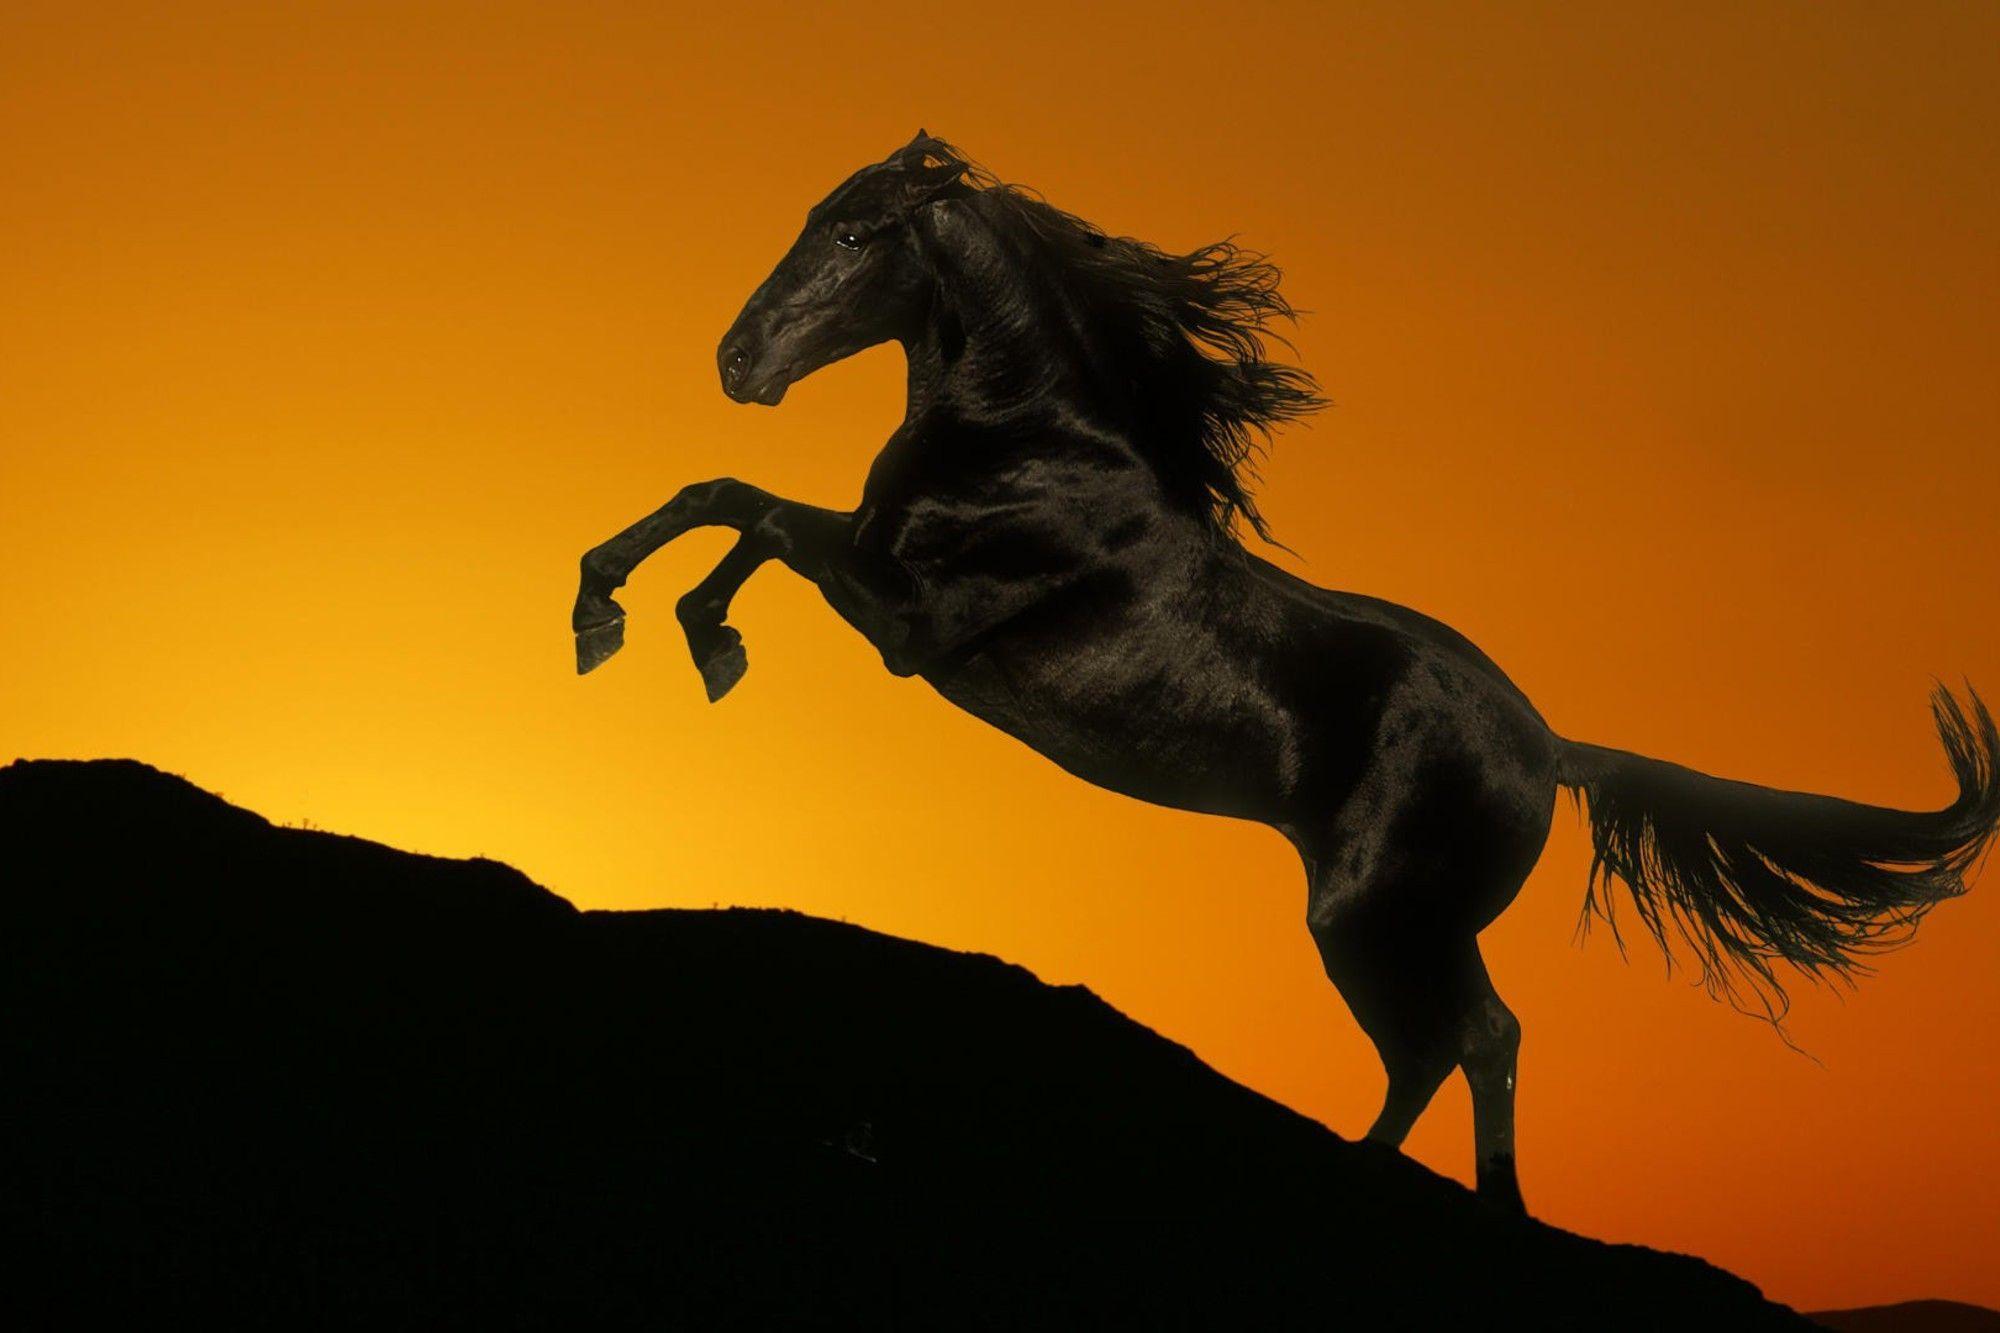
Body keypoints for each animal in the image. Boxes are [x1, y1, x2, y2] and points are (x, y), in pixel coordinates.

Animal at [571, 132, 1999, 1213]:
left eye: (857, 234)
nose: (736, 362)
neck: (1029, 445)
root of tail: (1550, 748)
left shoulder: (906, 623)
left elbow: (747, 511)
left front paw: (674, 635)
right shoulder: (877, 581)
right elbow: (720, 498)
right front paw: (623, 619)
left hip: (1375, 914)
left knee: (1470, 1035)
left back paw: (1449, 1195)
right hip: (1392, 918)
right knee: (1450, 1043)